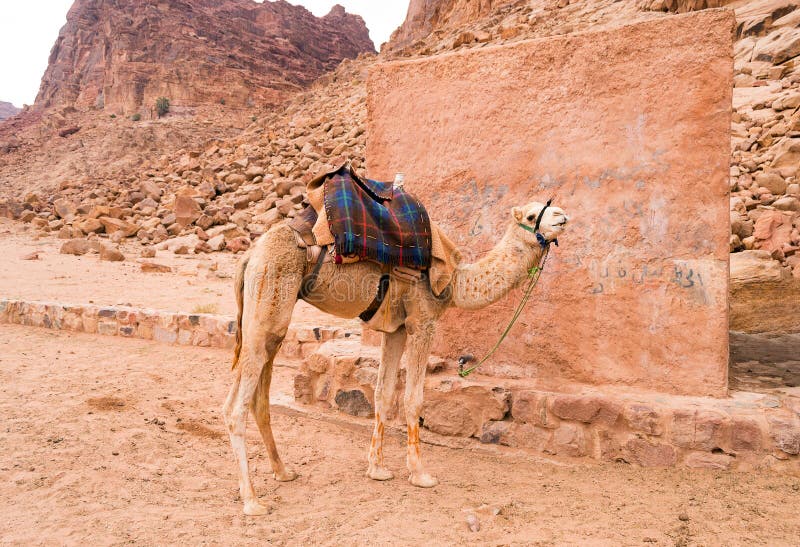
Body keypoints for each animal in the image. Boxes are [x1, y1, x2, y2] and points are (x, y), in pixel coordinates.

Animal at [222, 199, 570, 515]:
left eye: (548, 206)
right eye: (531, 215)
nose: (563, 216)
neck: (456, 280)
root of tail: (250, 255)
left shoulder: (396, 328)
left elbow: (384, 393)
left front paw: (377, 469)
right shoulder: (422, 322)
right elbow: (413, 398)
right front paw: (420, 474)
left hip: (269, 323)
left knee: (254, 396)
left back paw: (283, 472)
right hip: (269, 298)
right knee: (235, 407)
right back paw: (252, 500)